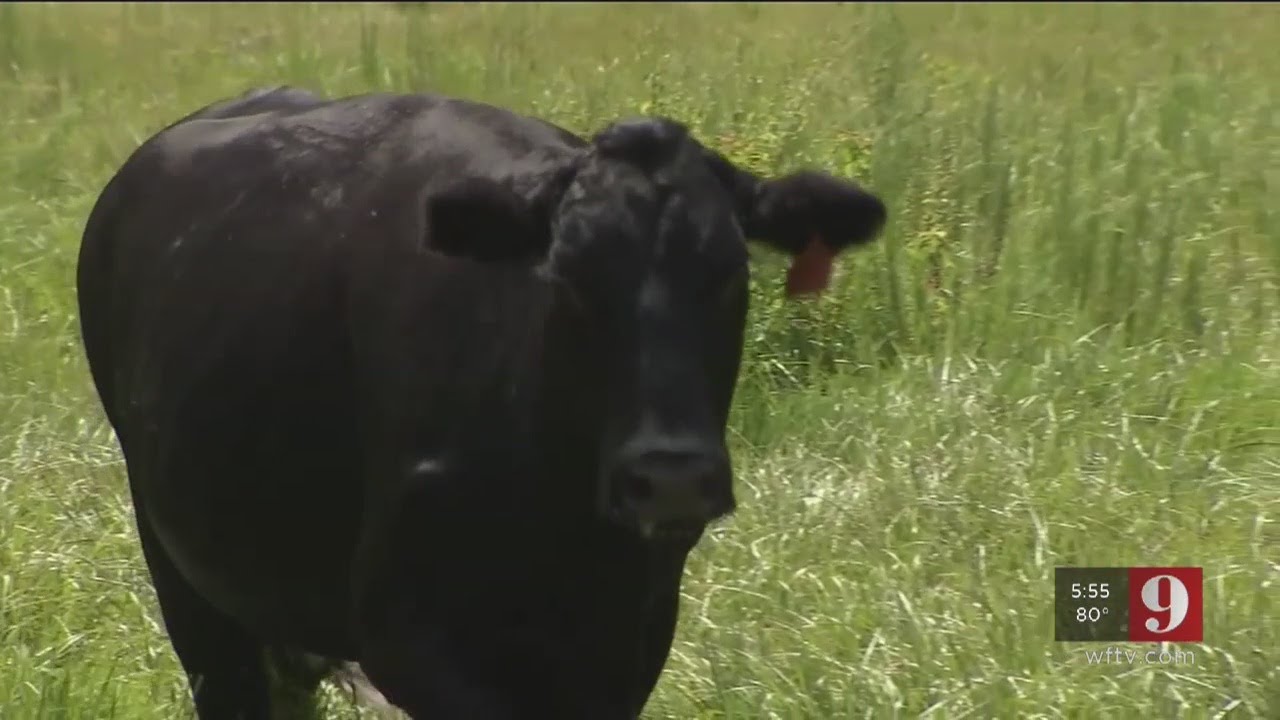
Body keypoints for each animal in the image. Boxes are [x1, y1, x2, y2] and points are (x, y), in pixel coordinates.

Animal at [75, 85, 887, 720]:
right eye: (567, 280)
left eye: (731, 276)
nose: (671, 475)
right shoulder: (405, 636)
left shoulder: (630, 633)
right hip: (181, 572)